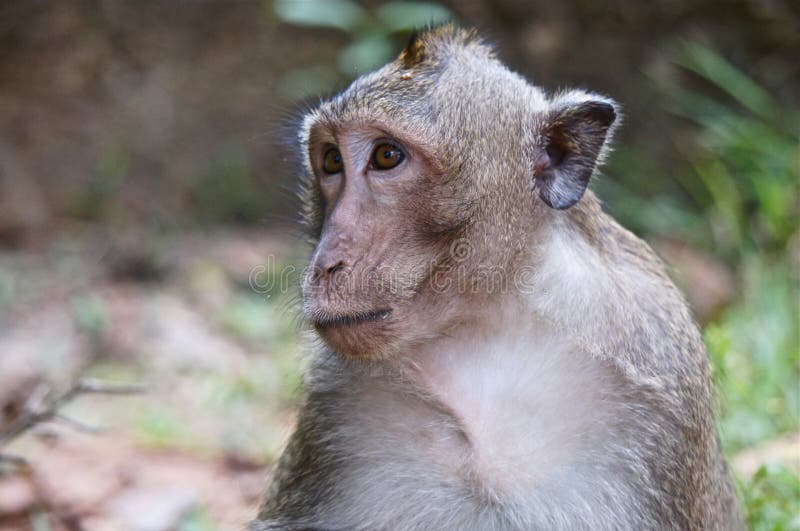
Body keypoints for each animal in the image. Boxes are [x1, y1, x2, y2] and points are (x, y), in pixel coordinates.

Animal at [251, 25, 743, 531]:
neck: (487, 328)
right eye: (332, 161)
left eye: (387, 156)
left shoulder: (663, 380)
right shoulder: (333, 400)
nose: (326, 262)